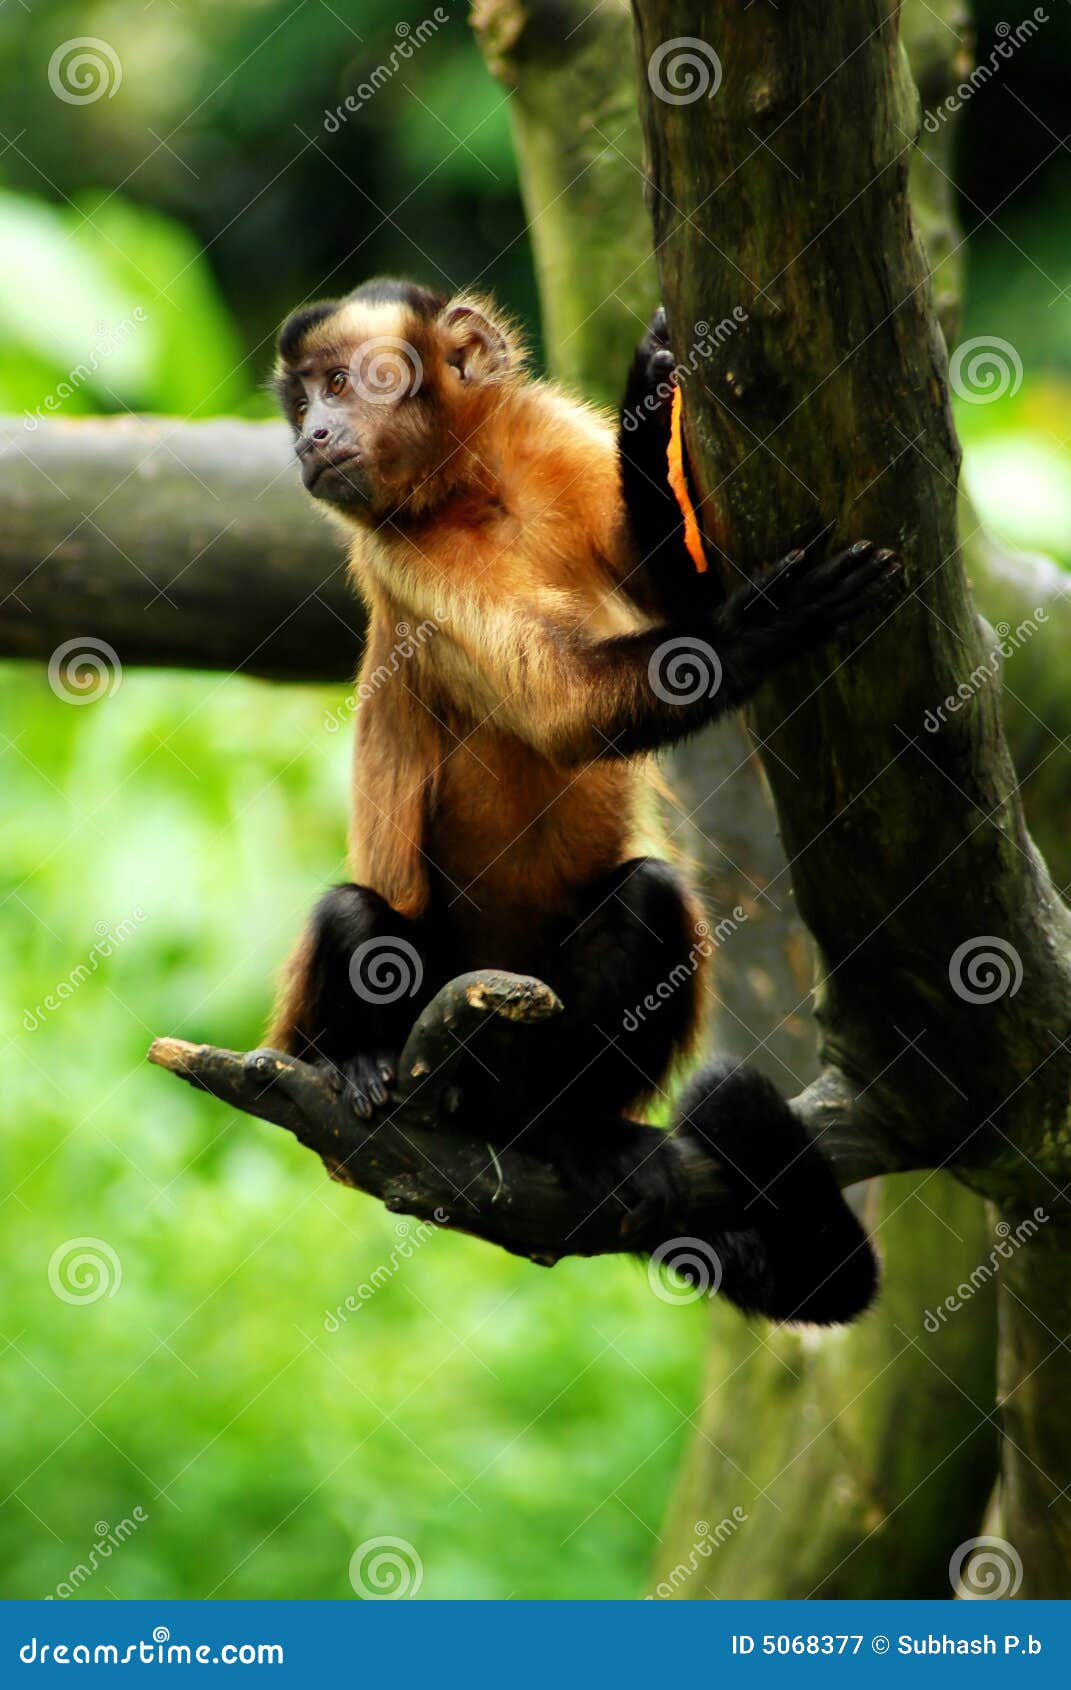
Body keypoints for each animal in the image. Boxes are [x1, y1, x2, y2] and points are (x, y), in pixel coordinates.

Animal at [266, 276, 898, 1324]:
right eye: (300, 401)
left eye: (339, 385)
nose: (309, 436)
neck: (475, 486)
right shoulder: (402, 556)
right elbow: (564, 709)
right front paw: (768, 623)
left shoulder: (550, 439)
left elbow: (679, 597)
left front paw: (652, 396)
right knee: (360, 917)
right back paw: (351, 1065)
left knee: (647, 899)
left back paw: (569, 1132)